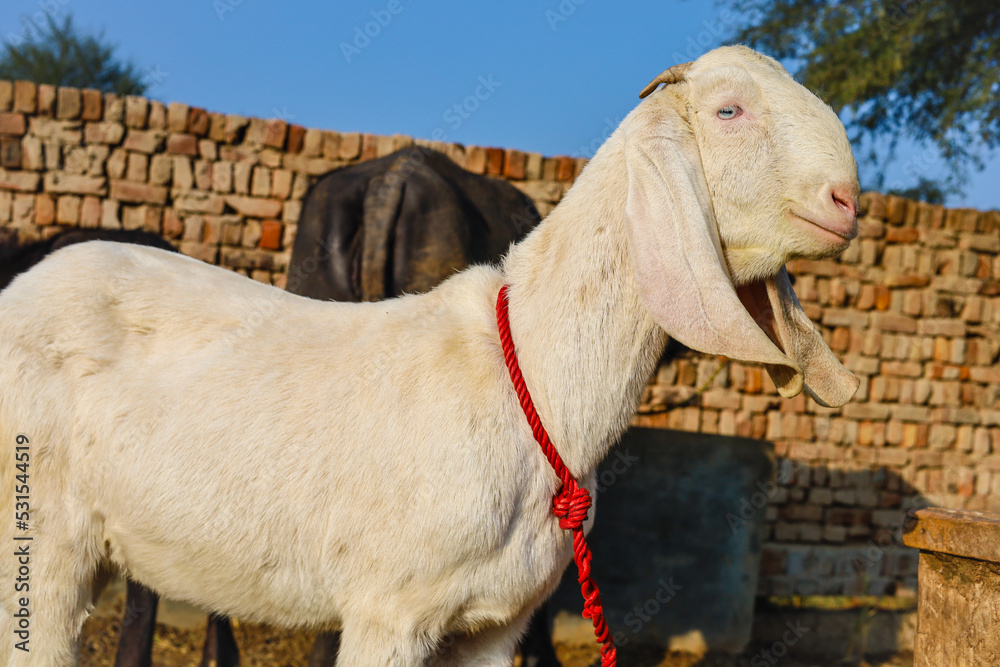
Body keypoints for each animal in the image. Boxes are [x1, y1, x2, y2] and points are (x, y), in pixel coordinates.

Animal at [0, 45, 859, 666]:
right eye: (728, 110)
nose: (848, 203)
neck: (532, 378)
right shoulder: (392, 608)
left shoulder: (492, 623)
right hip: (39, 537)